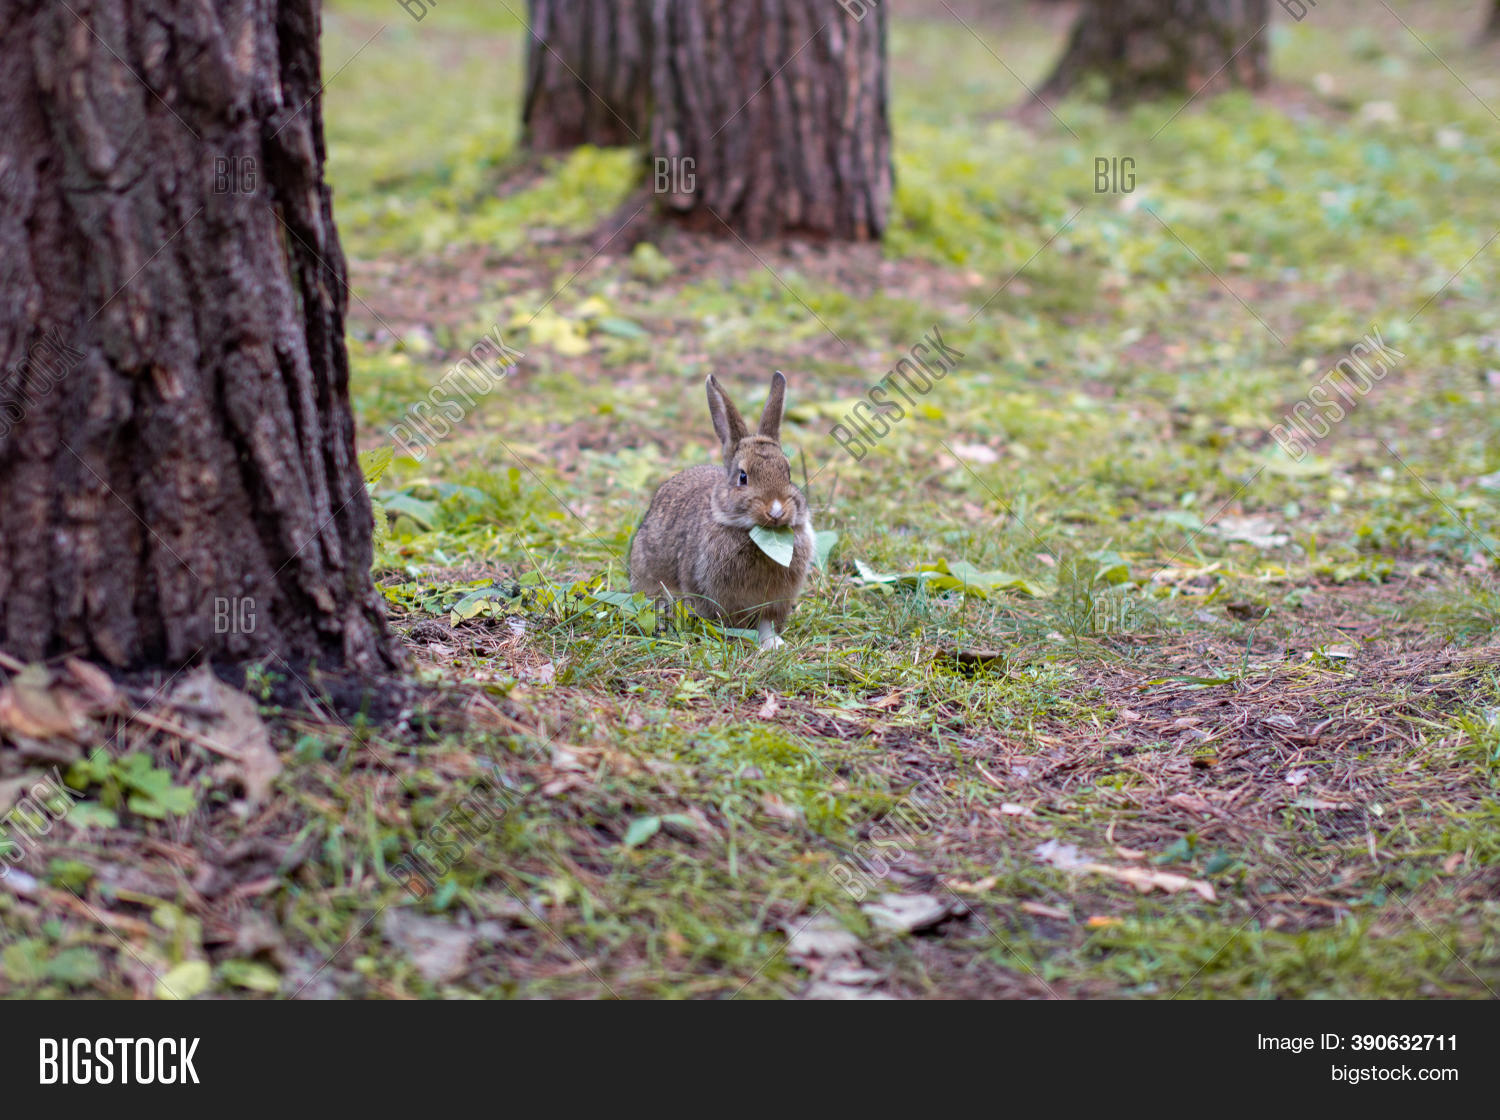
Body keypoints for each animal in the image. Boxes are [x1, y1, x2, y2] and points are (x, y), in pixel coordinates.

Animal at [629, 371, 813, 649]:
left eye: (788, 473)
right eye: (743, 477)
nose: (776, 511)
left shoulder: (774, 601)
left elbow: (767, 623)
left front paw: (773, 644)